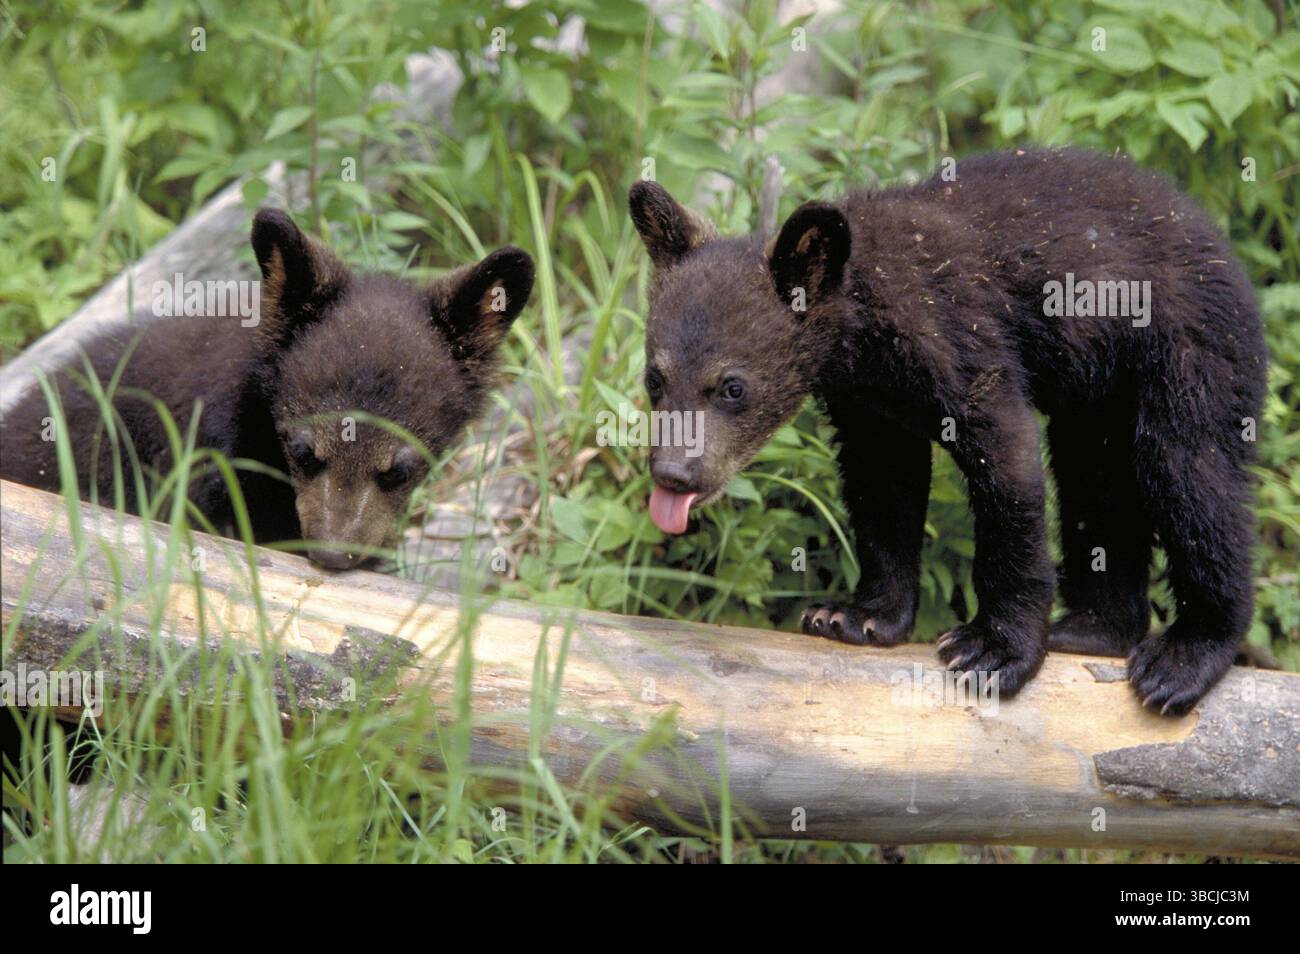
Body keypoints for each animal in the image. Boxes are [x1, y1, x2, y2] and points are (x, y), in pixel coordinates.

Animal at [628, 147, 1267, 715]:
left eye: (732, 386)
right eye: (654, 377)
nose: (674, 475)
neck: (865, 323)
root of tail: (1221, 243)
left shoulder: (959, 338)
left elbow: (1006, 468)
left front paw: (993, 649)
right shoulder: (869, 402)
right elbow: (883, 488)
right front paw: (854, 614)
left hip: (1185, 344)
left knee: (1189, 474)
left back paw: (1184, 657)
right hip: (1100, 393)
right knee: (1097, 483)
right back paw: (1094, 628)